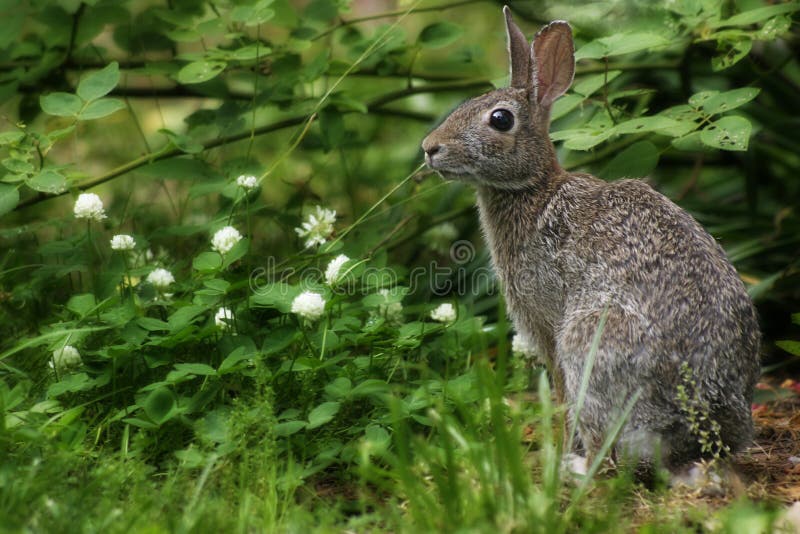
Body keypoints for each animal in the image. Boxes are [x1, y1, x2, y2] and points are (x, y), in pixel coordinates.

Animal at [421, 6, 761, 477]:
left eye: (500, 119)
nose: (429, 148)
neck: (533, 189)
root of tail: (700, 420)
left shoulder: (548, 326)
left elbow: (562, 396)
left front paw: (562, 448)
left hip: (588, 343)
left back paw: (577, 467)